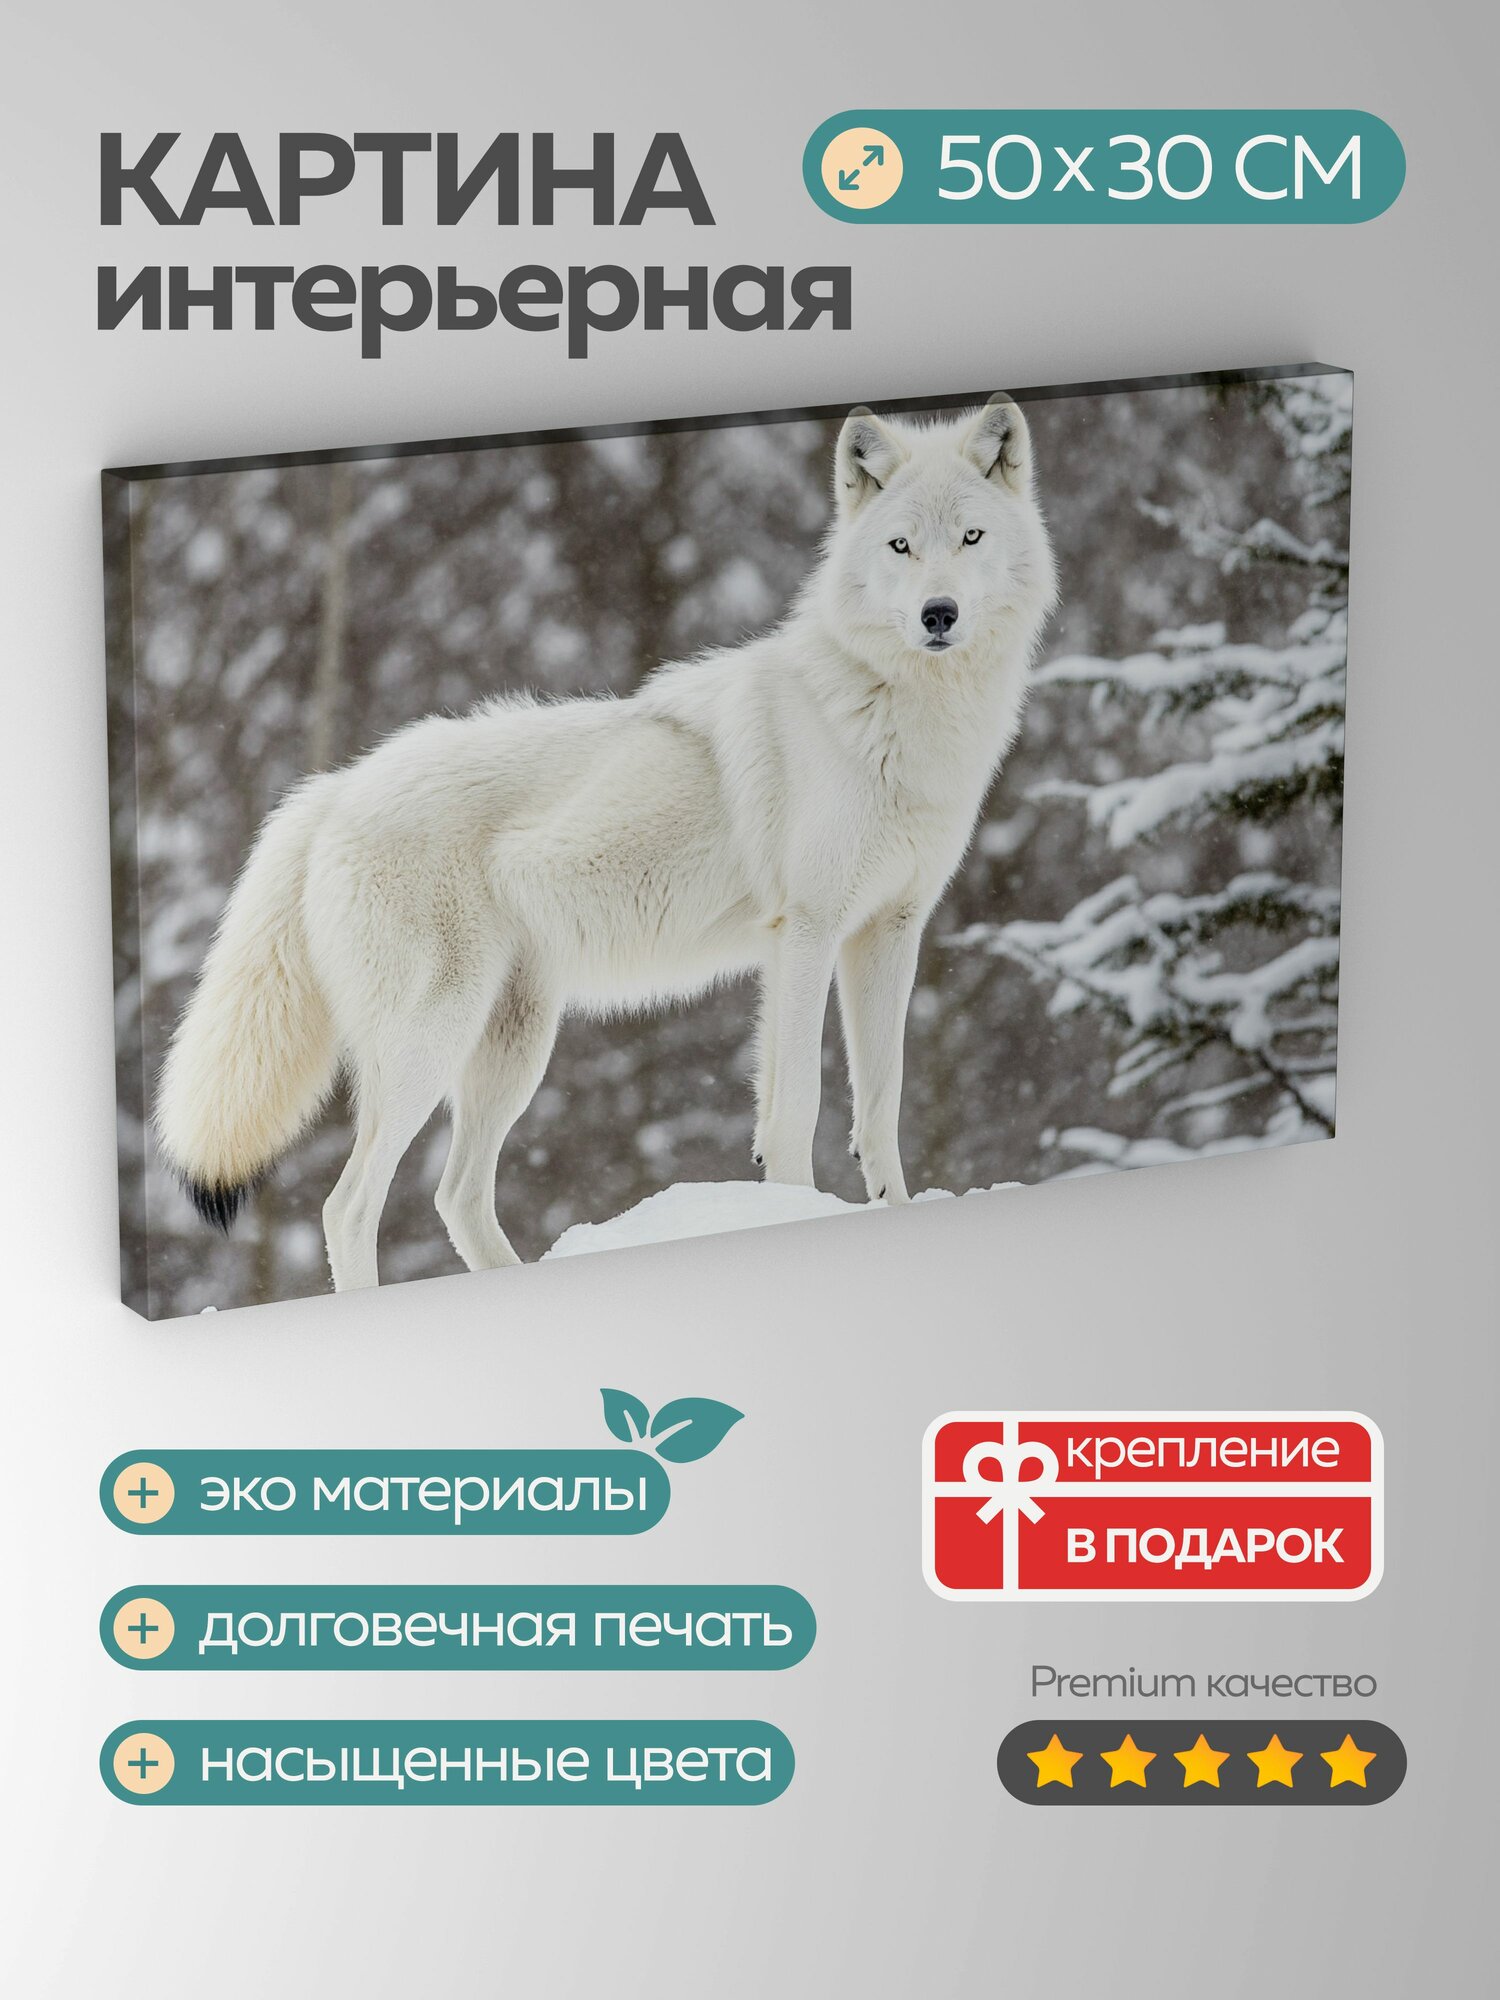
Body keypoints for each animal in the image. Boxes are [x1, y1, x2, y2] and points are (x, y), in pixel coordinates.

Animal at [155, 394, 1058, 1291]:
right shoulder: (806, 932)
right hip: (434, 1041)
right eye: (901, 545)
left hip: (515, 1048)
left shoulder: (888, 932)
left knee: (456, 1195)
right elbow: (798, 1106)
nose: (937, 616)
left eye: (970, 538)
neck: (896, 713)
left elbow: (879, 1107)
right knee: (349, 1206)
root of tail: (329, 792)